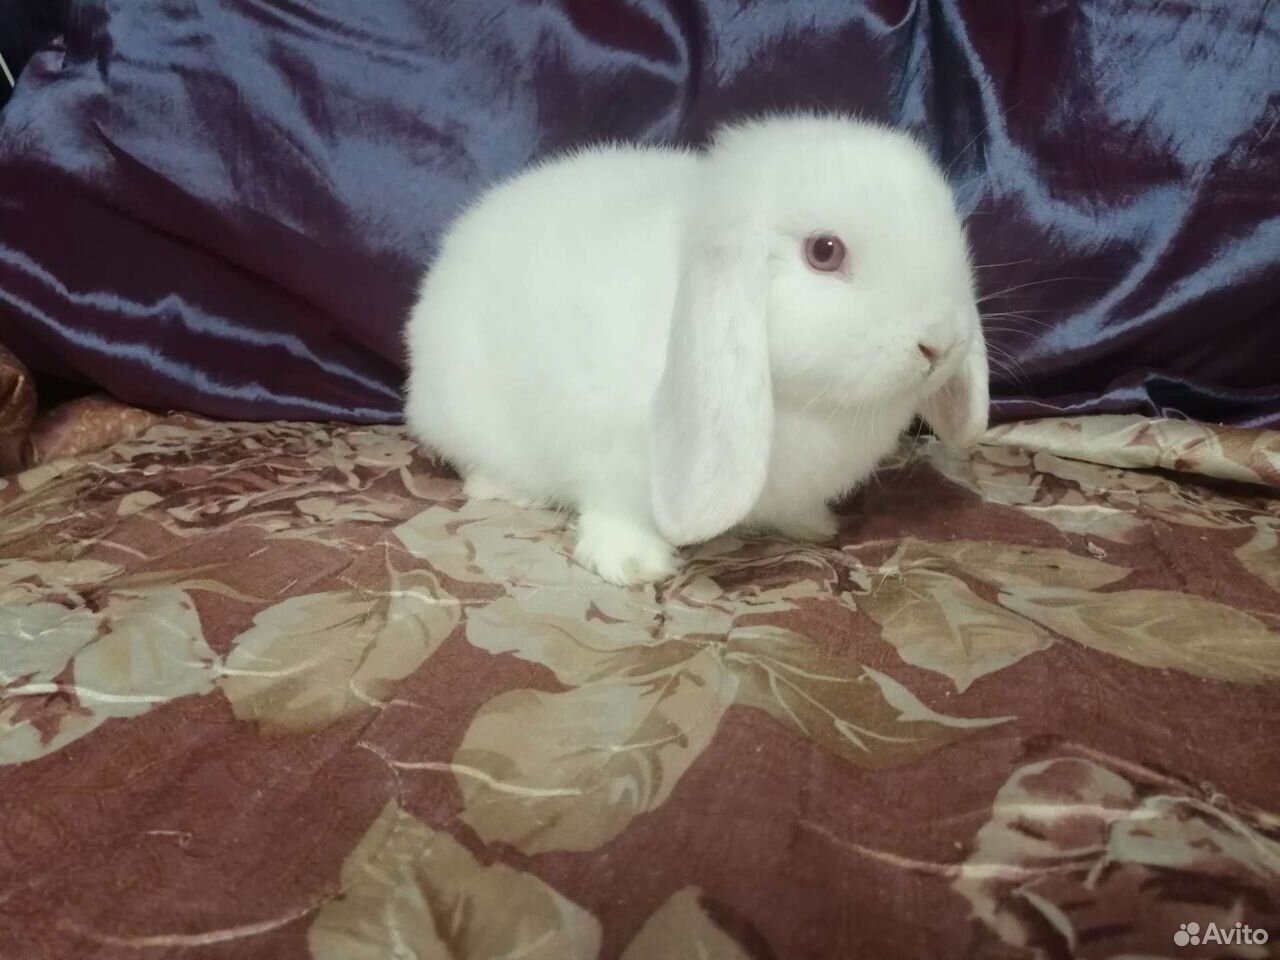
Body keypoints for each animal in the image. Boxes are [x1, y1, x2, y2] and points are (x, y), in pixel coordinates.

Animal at [404, 113, 989, 585]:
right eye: (824, 252)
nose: (941, 342)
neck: (806, 404)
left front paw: (812, 526)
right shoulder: (609, 455)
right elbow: (615, 509)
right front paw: (632, 565)